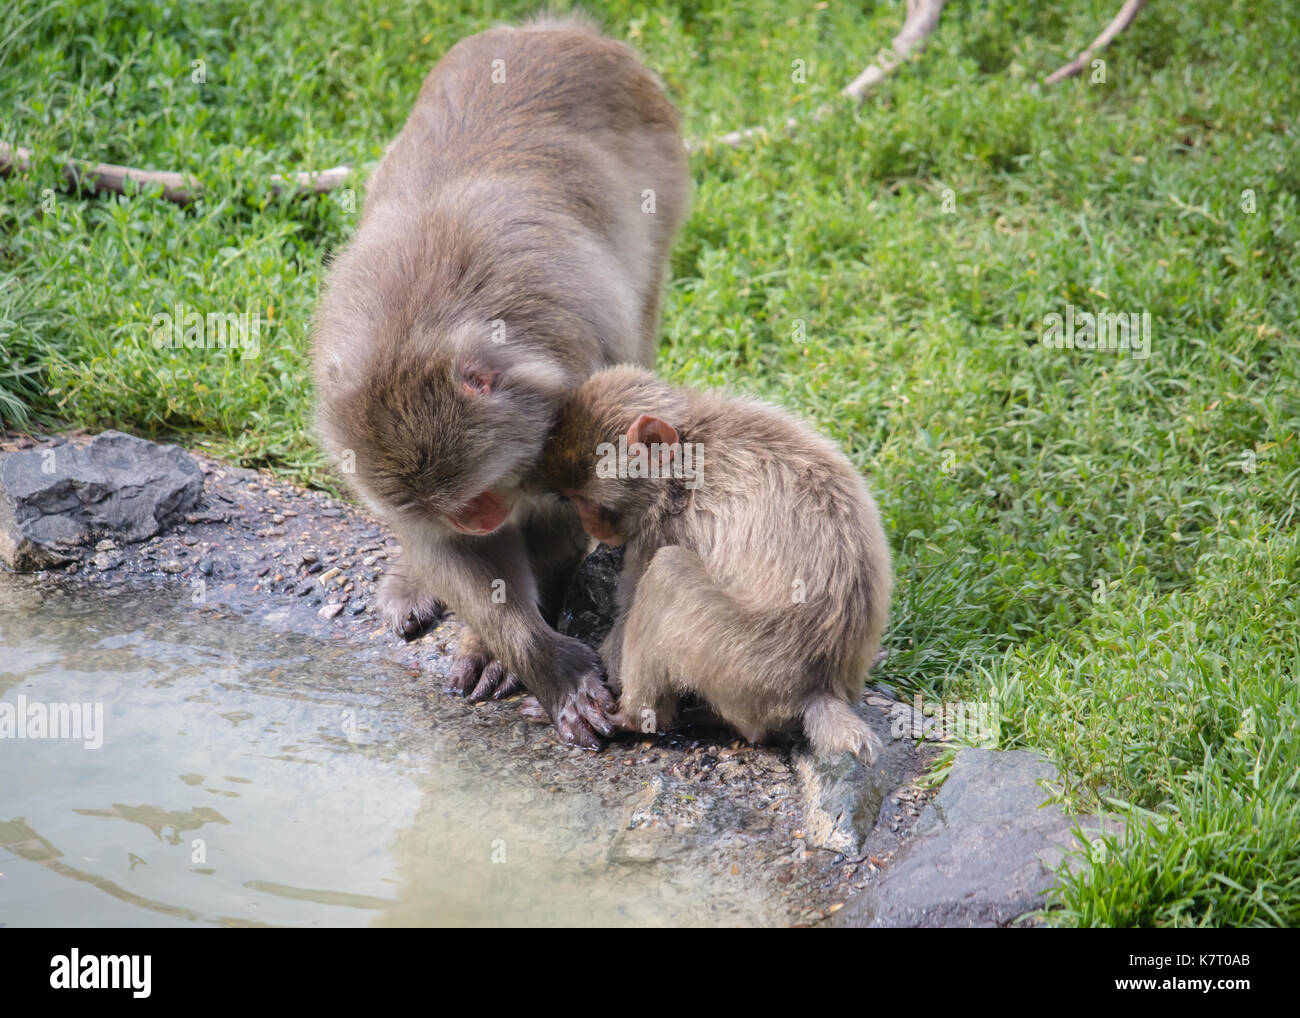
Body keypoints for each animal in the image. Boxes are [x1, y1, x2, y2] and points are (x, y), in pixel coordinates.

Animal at [311, 16, 690, 749]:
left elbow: (566, 522)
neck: (419, 324)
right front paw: (536, 659)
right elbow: (453, 555)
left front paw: (498, 653)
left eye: (477, 492)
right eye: (454, 507)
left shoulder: (580, 390)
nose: (480, 517)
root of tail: (553, 30)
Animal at [533, 365, 893, 762]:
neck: (685, 453)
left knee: (667, 574)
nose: (589, 527)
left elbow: (627, 617)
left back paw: (637, 718)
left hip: (745, 662)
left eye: (590, 502)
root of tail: (821, 687)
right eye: (572, 500)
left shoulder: (662, 527)